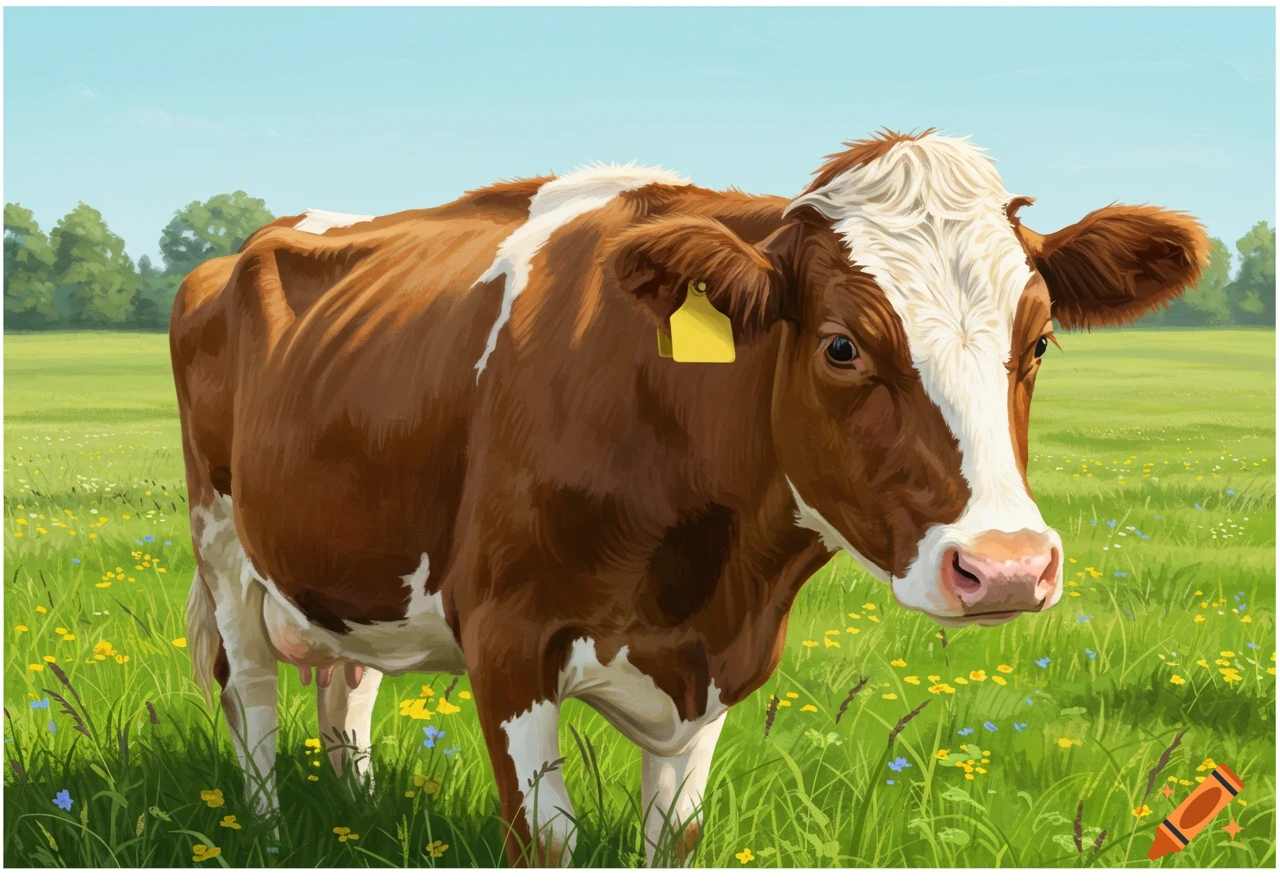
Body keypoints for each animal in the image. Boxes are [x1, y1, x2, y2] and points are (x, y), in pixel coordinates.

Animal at [170, 128, 1206, 866]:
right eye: (841, 345)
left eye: (1039, 342)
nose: (1006, 569)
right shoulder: (508, 639)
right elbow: (546, 841)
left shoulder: (710, 669)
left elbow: (675, 840)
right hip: (224, 545)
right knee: (251, 693)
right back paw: (272, 835)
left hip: (355, 571)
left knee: (348, 687)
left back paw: (356, 813)